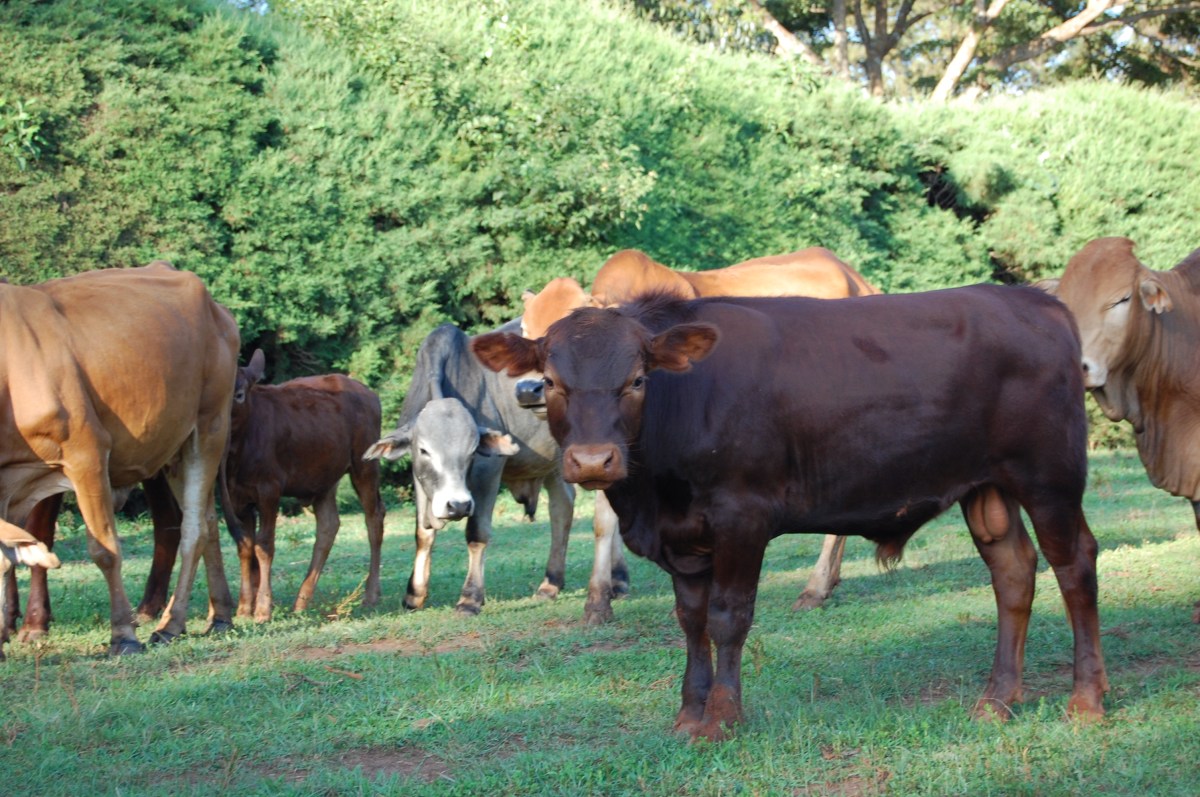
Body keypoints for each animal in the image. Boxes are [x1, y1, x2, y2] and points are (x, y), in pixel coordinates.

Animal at [0, 262, 239, 656]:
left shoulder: (86, 454)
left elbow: (104, 549)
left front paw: (124, 636)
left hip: (208, 428)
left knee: (194, 530)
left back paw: (170, 625)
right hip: (172, 446)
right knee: (208, 521)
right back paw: (220, 616)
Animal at [221, 350, 386, 622]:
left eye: (239, 394)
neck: (237, 456)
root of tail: (366, 390)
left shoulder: (269, 489)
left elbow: (264, 546)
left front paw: (263, 608)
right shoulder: (238, 498)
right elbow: (245, 547)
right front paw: (244, 608)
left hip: (365, 464)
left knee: (374, 519)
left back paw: (371, 595)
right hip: (324, 474)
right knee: (328, 526)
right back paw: (302, 600)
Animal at [365, 322, 628, 623]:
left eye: (472, 451)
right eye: (424, 450)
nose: (457, 505)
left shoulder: (488, 470)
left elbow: (477, 533)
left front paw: (470, 598)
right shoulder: (420, 480)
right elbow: (423, 533)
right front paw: (414, 594)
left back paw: (617, 582)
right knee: (563, 508)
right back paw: (551, 583)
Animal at [472, 288, 1108, 741]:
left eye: (636, 379)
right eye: (552, 381)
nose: (592, 460)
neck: (654, 497)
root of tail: (1034, 299)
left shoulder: (742, 517)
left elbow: (728, 618)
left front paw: (722, 718)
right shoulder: (684, 539)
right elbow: (691, 621)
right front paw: (688, 713)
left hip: (1049, 478)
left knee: (1074, 564)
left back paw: (1086, 699)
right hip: (988, 487)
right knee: (1013, 570)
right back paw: (998, 699)